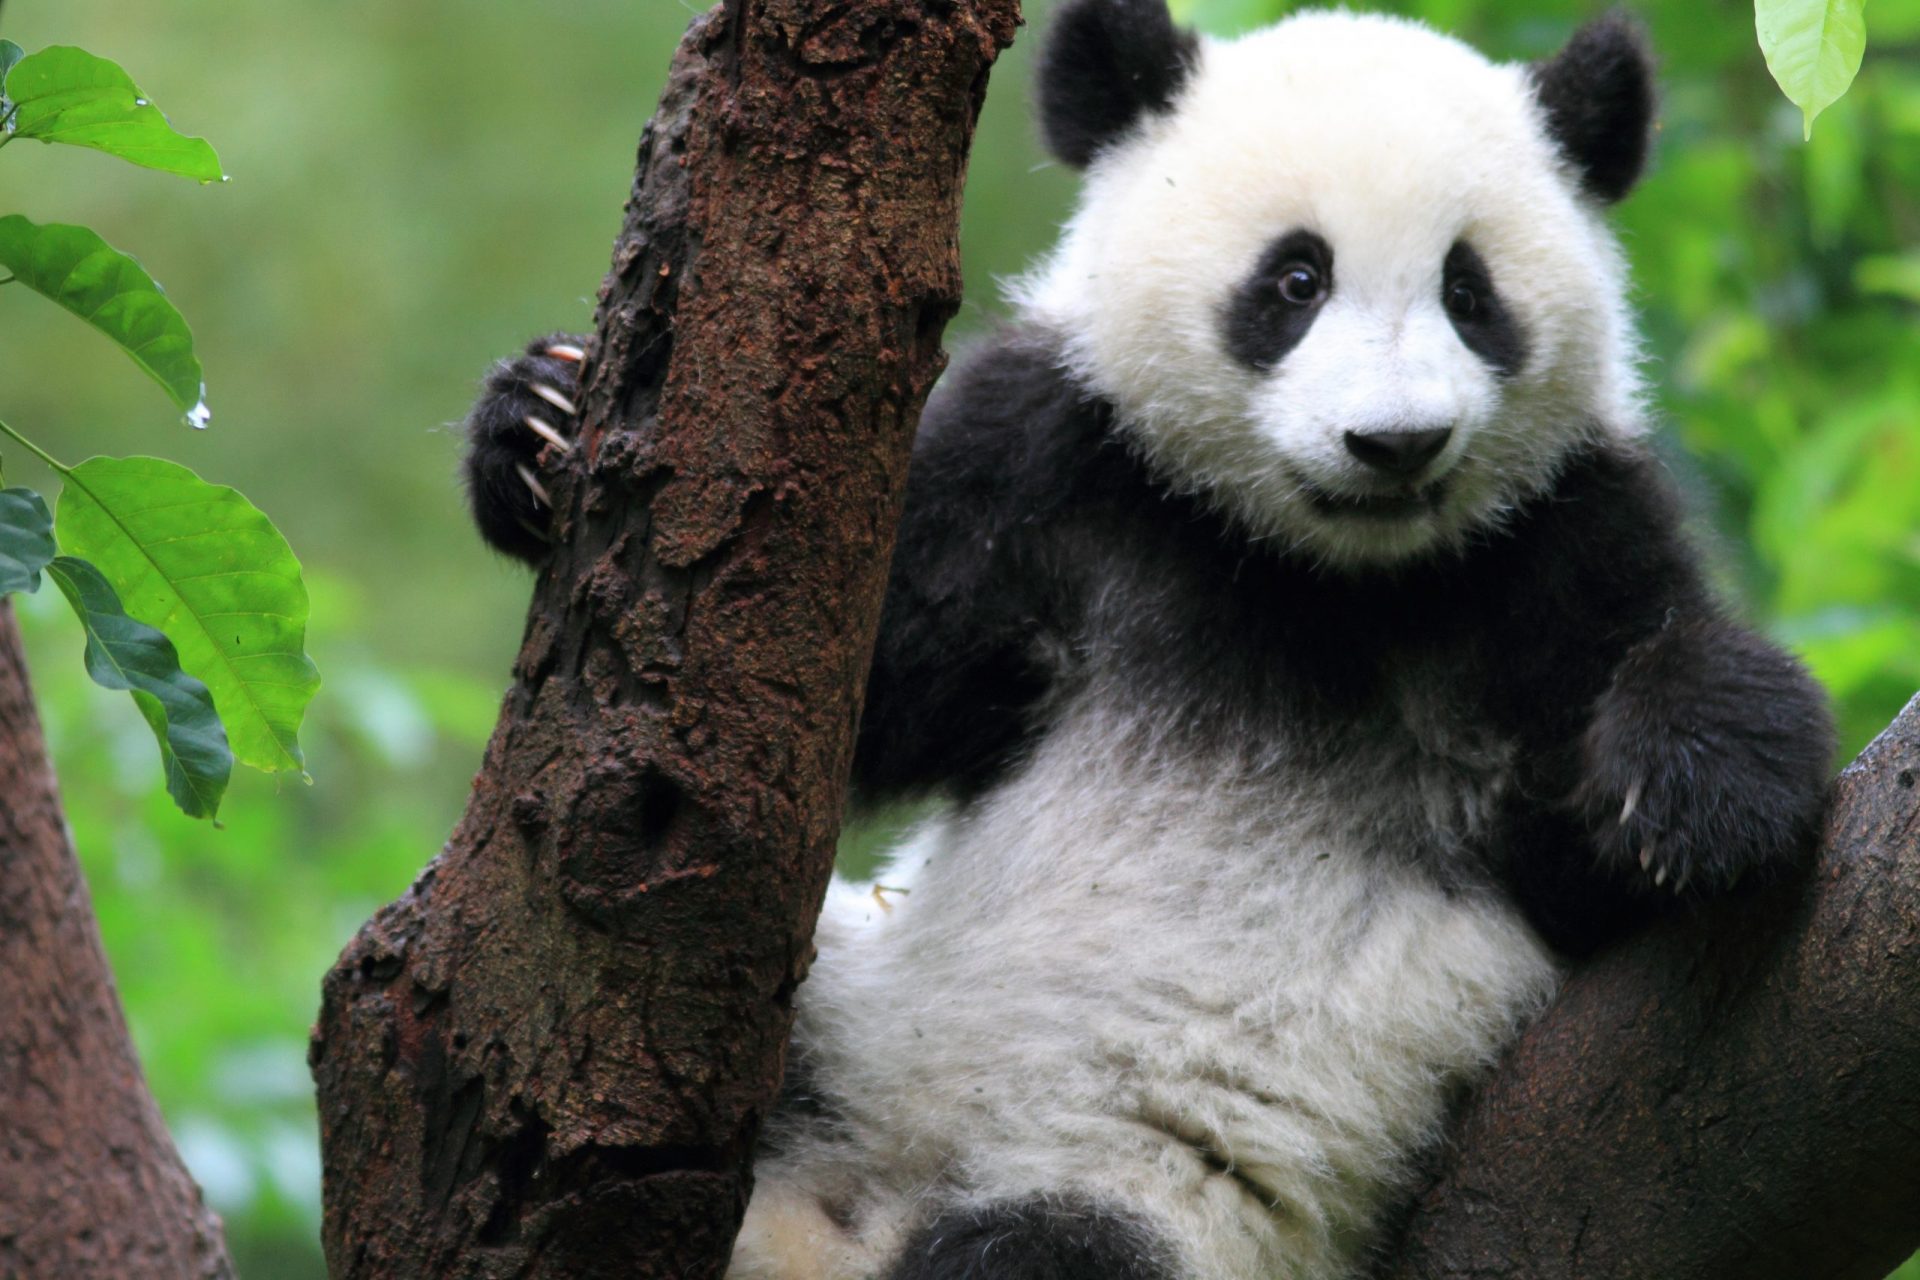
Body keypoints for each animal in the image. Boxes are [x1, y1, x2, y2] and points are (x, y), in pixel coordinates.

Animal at [460, 3, 1835, 1278]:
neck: (1320, 571)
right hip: (851, 1002)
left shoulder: (1553, 543)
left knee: (1042, 1250)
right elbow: (841, 695)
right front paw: (537, 425)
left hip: (1152, 1193)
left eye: (1469, 291)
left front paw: (1701, 784)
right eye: (1295, 281)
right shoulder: (1050, 474)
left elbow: (1606, 798)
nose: (1395, 443)